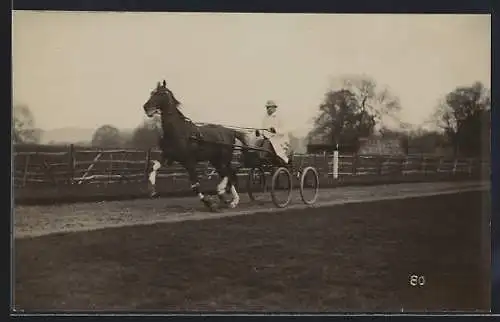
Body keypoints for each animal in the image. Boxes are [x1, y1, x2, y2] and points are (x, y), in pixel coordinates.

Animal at [142, 80, 250, 211]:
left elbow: (195, 185)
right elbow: (154, 168)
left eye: (161, 93)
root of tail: (230, 131)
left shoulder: (189, 161)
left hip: (223, 159)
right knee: (229, 174)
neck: (178, 131)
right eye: (152, 92)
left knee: (228, 174)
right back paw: (231, 200)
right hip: (216, 160)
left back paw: (223, 192)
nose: (146, 107)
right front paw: (152, 190)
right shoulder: (168, 156)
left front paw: (209, 202)